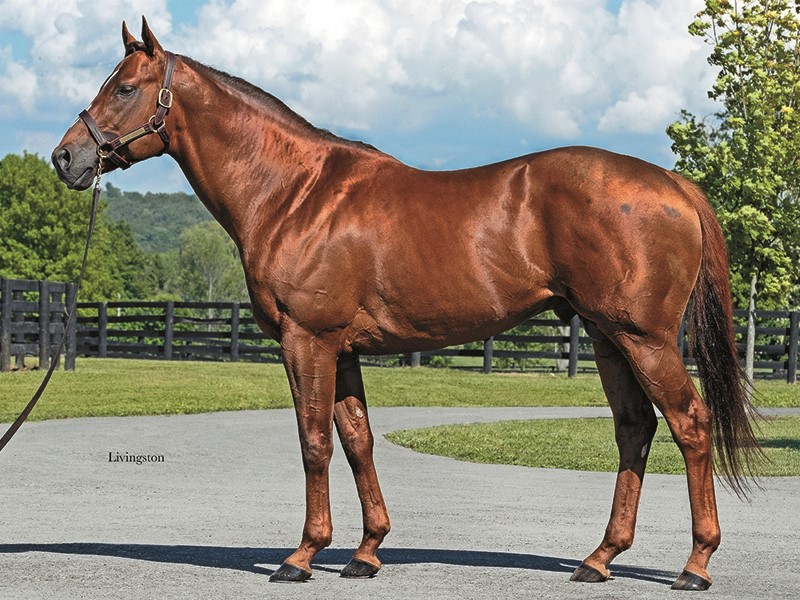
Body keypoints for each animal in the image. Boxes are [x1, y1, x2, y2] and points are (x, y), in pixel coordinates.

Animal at [52, 18, 759, 591]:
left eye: (124, 88)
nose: (65, 157)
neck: (295, 193)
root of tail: (672, 184)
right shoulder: (342, 349)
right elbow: (357, 439)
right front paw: (366, 552)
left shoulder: (306, 340)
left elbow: (314, 441)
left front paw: (302, 556)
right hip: (609, 337)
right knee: (635, 429)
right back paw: (599, 559)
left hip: (644, 339)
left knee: (690, 424)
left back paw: (696, 564)